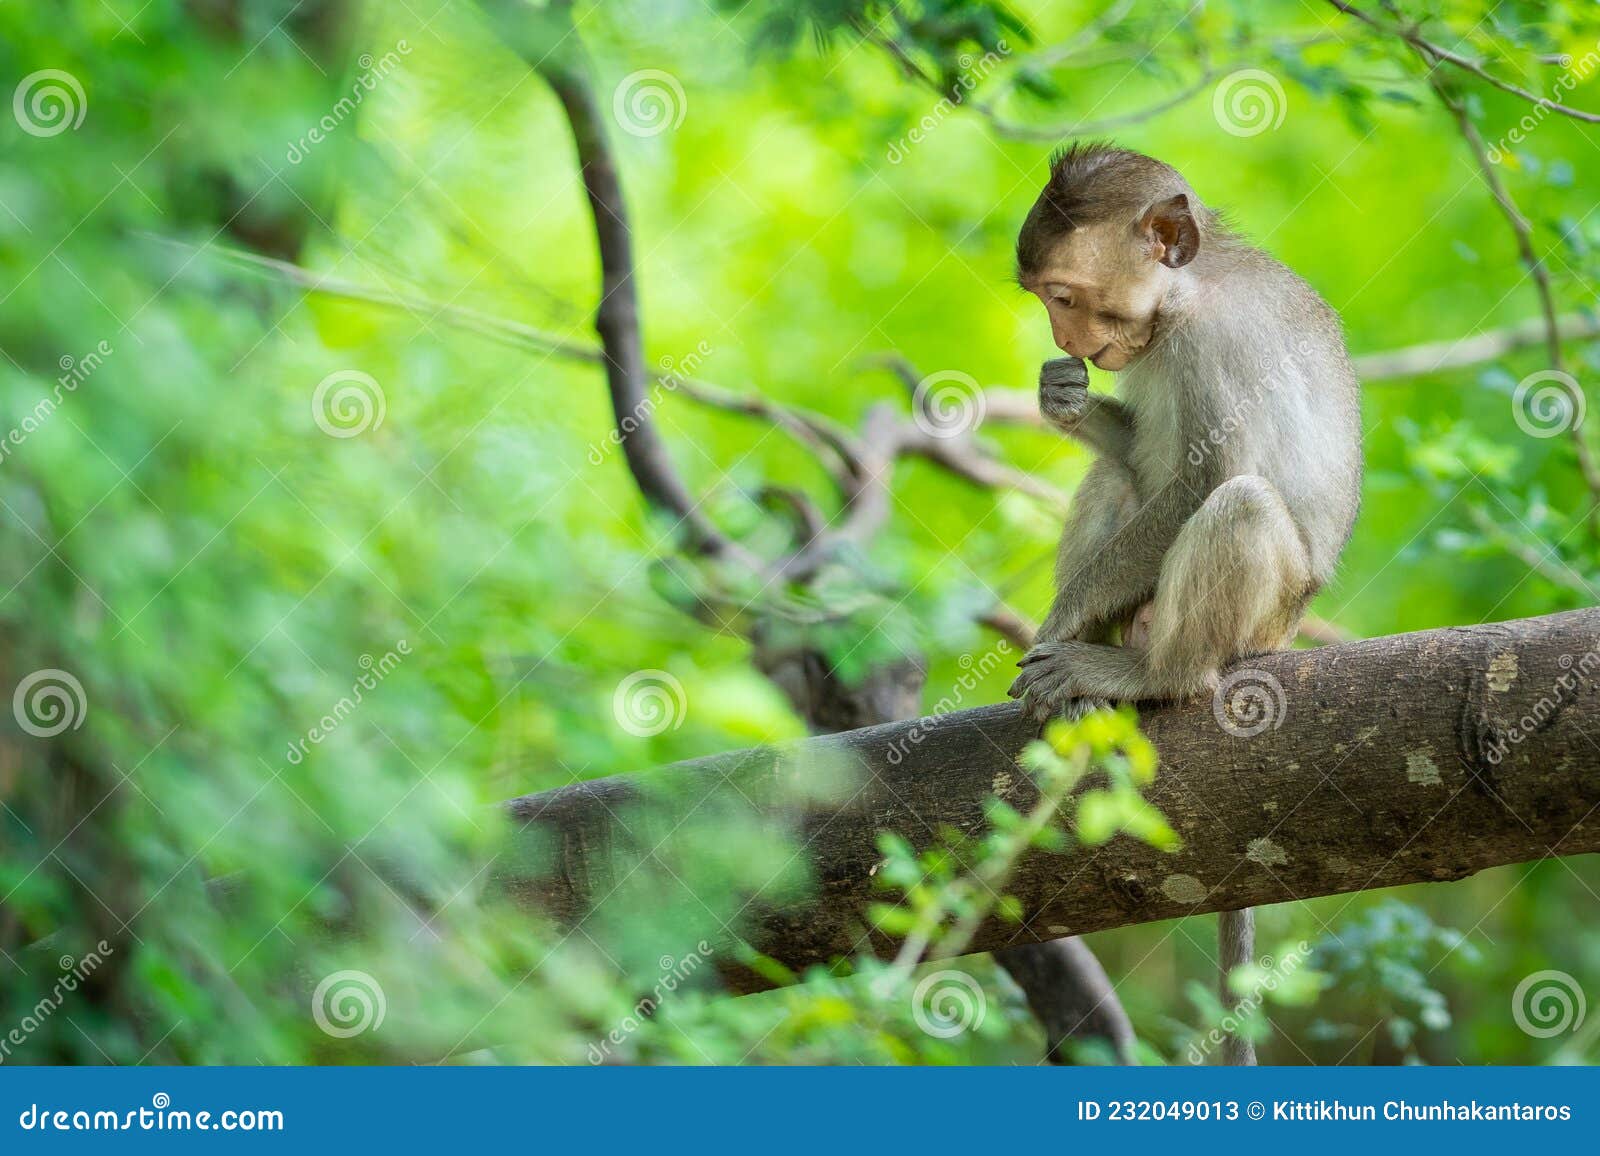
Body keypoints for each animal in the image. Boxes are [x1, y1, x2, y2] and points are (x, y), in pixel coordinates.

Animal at [1007, 143, 1362, 1065]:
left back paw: (1148, 675)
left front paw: (1058, 625)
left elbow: (1204, 479)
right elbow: (1144, 461)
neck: (1184, 297)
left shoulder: (1213, 347)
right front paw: (1063, 400)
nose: (1063, 340)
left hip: (1262, 618)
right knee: (1120, 479)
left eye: (1064, 296)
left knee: (1240, 503)